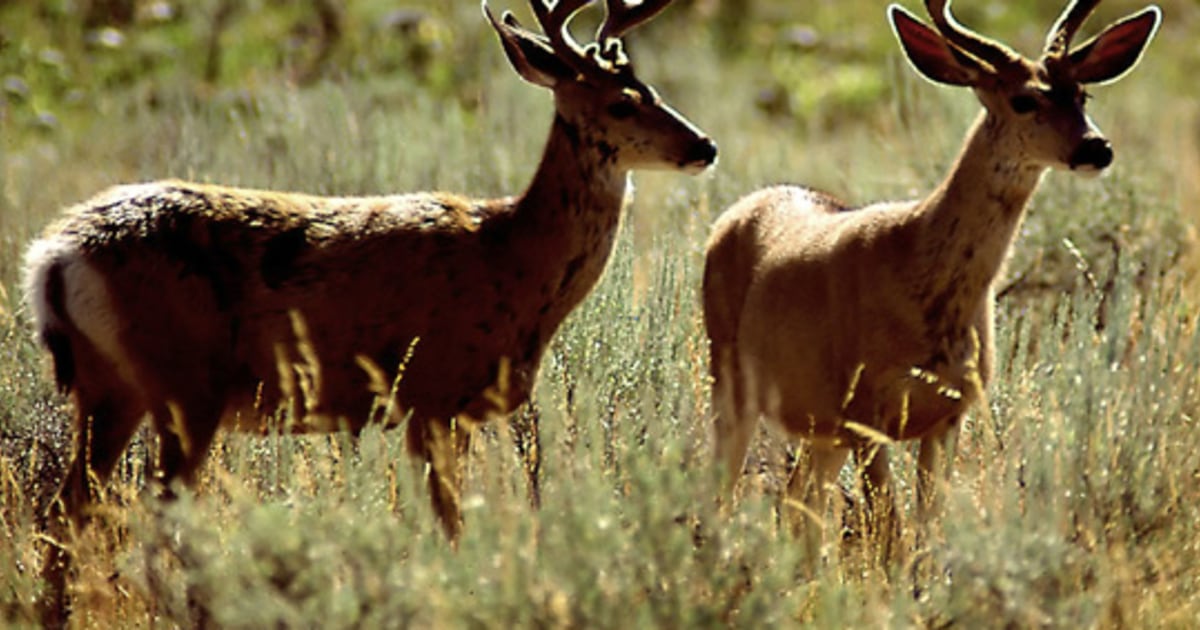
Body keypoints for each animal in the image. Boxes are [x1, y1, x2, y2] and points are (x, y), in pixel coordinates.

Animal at [23, 0, 715, 621]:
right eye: (621, 103)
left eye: (651, 89)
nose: (705, 145)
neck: (512, 259)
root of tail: (51, 257)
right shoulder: (433, 394)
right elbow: (450, 523)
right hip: (184, 386)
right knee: (152, 513)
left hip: (111, 388)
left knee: (66, 509)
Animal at [702, 0, 1159, 561]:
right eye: (1024, 99)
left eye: (1083, 94)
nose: (1097, 147)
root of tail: (737, 210)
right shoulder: (865, 407)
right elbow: (893, 537)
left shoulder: (948, 415)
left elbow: (928, 531)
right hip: (730, 374)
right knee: (725, 489)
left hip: (818, 426)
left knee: (798, 502)